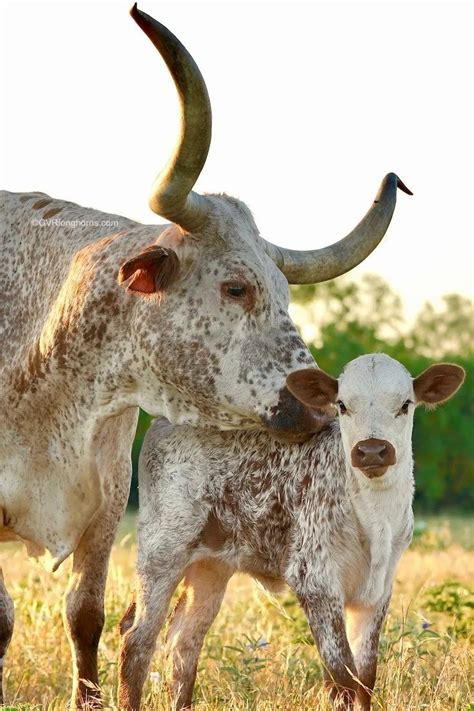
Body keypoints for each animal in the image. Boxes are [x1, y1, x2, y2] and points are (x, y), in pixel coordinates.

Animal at [117, 354, 464, 710]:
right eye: (342, 405)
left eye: (405, 404)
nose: (371, 450)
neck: (374, 516)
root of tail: (165, 421)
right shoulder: (315, 581)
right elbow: (342, 676)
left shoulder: (378, 590)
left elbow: (364, 678)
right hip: (161, 551)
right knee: (138, 640)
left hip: (210, 566)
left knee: (185, 640)